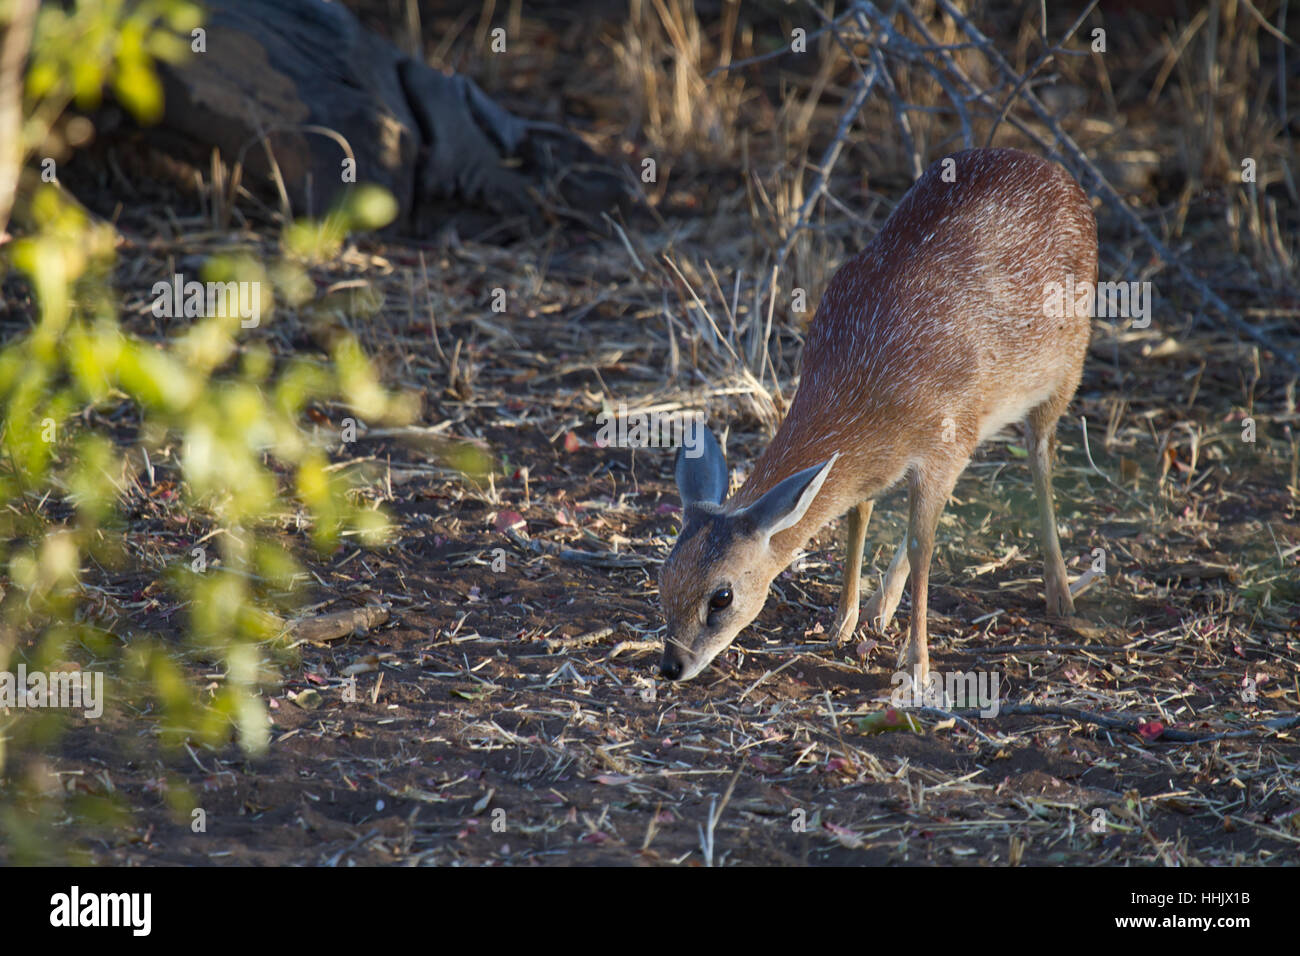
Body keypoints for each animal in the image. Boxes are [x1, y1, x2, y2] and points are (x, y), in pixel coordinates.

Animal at [658, 148, 1097, 684]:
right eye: (664, 575)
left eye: (721, 596)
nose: (671, 665)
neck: (867, 375)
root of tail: (1054, 168)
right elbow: (860, 513)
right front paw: (843, 621)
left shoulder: (945, 443)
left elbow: (923, 546)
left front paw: (917, 664)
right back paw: (877, 608)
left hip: (1066, 372)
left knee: (1040, 456)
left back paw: (1061, 592)